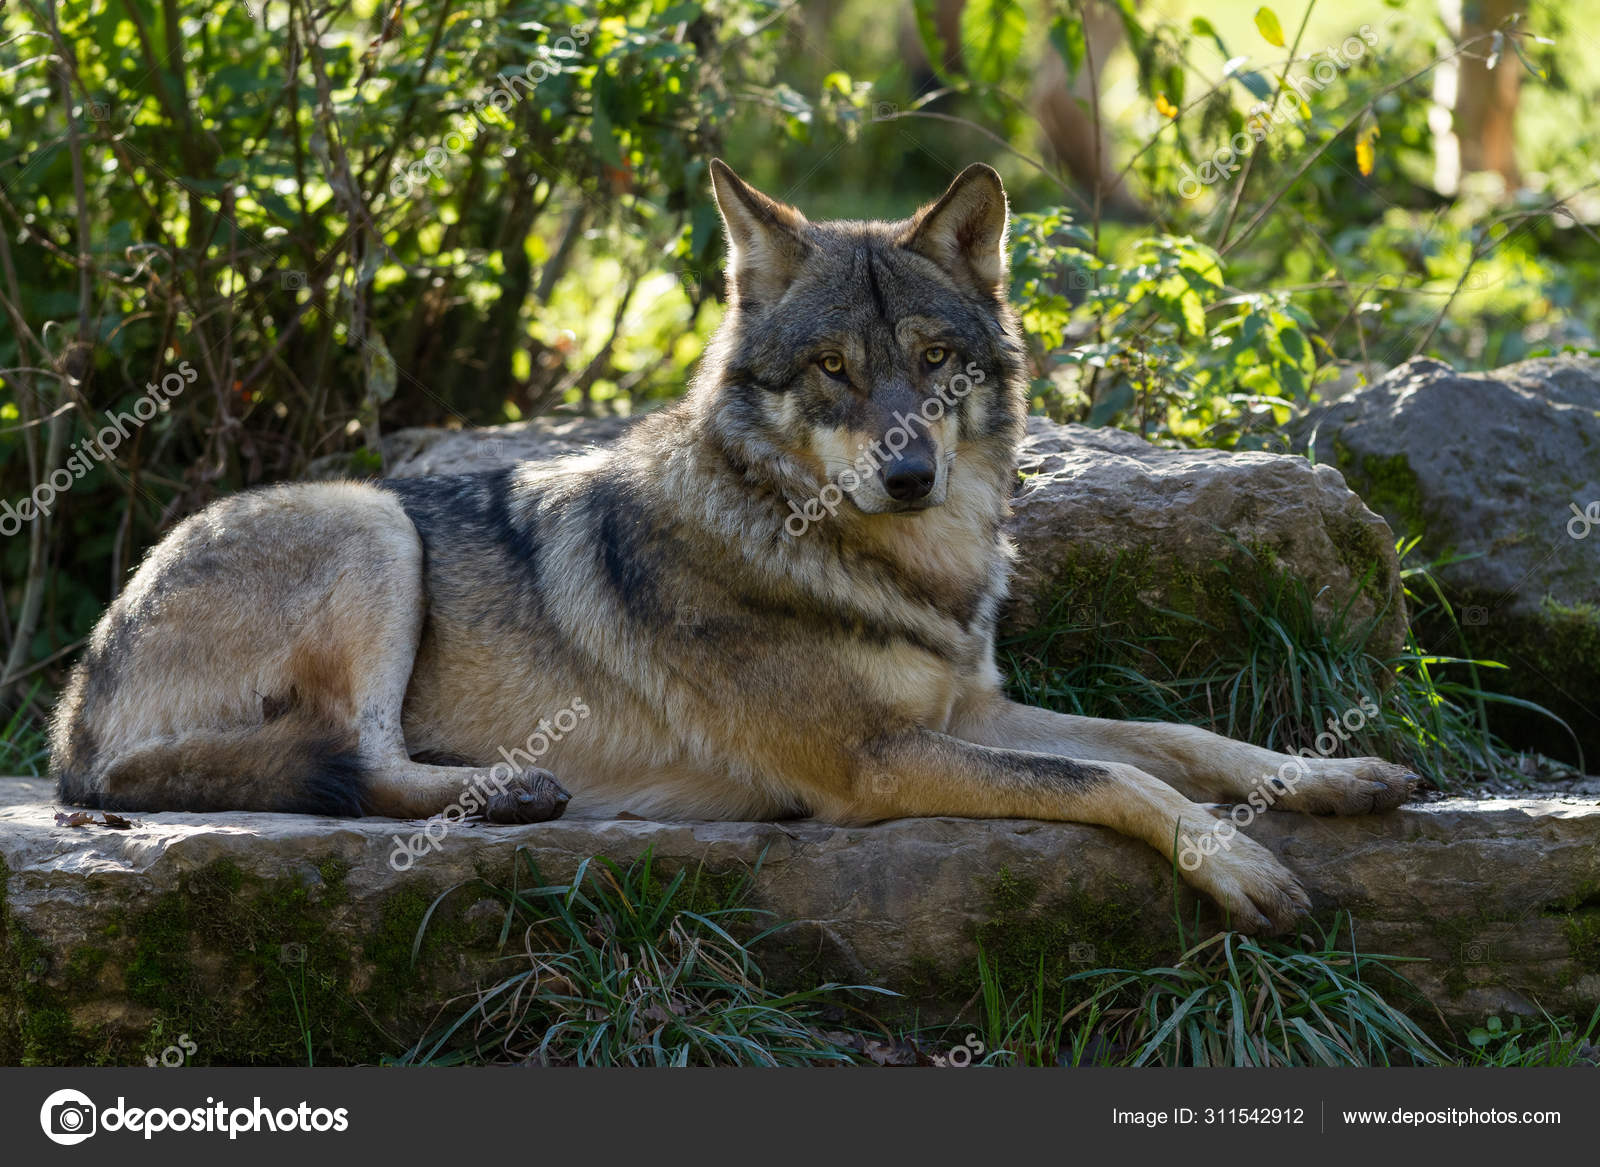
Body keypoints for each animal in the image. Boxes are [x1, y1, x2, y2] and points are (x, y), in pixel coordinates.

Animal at [50, 161, 1417, 933]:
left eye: (934, 359)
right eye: (833, 371)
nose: (909, 474)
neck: (888, 566)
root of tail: (72, 730)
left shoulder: (968, 714)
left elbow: (1177, 739)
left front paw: (1336, 776)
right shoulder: (872, 766)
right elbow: (1110, 781)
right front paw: (1237, 865)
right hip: (368, 517)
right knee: (362, 768)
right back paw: (505, 793)